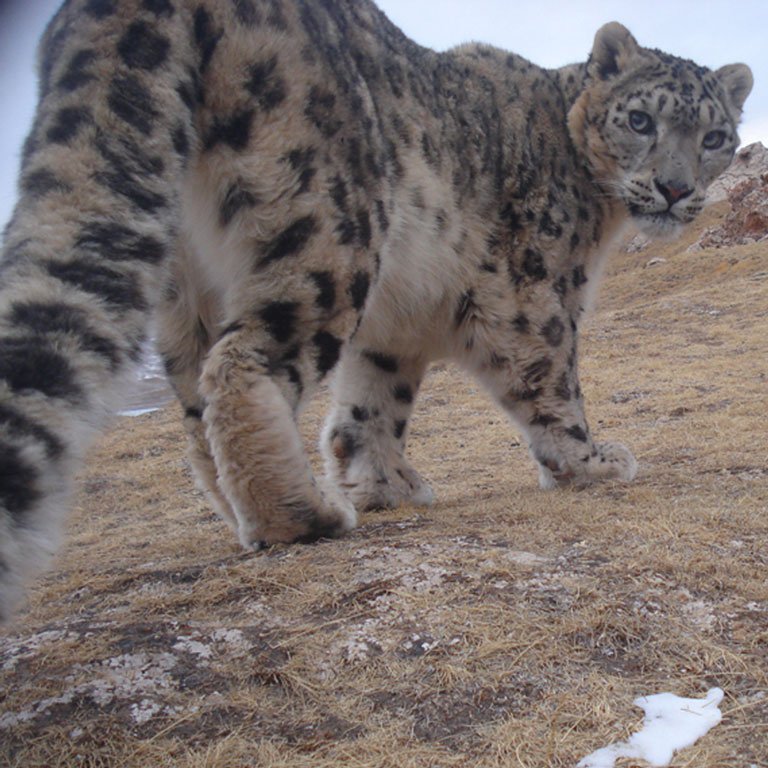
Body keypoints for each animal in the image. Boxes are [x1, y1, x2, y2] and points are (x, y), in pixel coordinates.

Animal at [0, 0, 752, 621]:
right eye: (640, 120)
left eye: (714, 137)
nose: (675, 188)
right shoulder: (534, 292)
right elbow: (552, 378)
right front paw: (590, 460)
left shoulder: (395, 330)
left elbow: (370, 406)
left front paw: (383, 483)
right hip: (327, 226)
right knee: (243, 362)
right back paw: (302, 515)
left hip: (187, 287)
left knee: (195, 407)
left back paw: (251, 514)